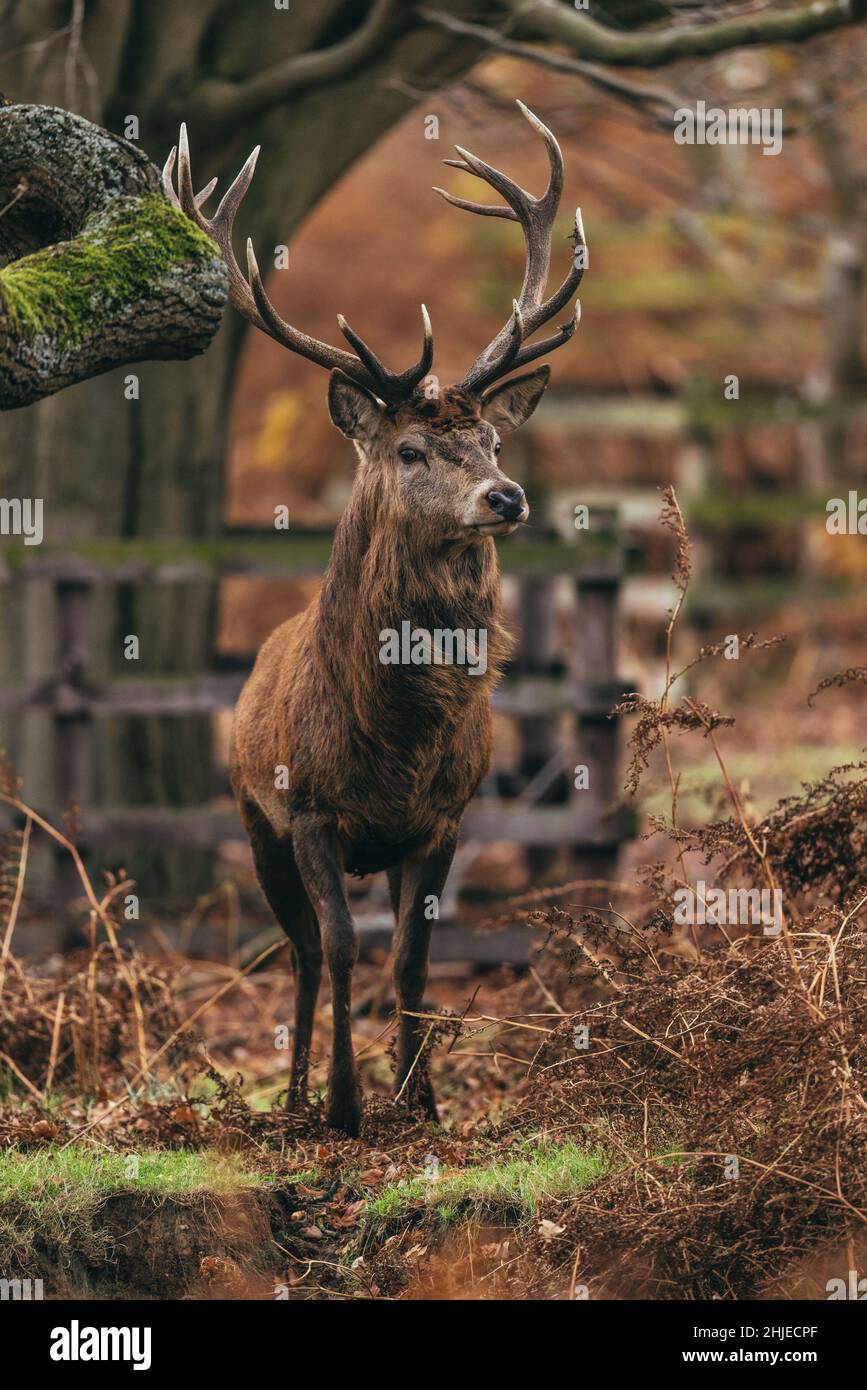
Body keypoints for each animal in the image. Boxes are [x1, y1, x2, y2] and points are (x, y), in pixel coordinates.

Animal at [163, 101, 586, 1135]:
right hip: (251, 820)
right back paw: (293, 1096)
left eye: (491, 439)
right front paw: (346, 1106)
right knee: (303, 953)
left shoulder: (446, 818)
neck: (393, 742)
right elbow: (344, 949)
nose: (506, 496)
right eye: (407, 449)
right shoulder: (309, 810)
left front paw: (420, 1099)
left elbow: (410, 957)